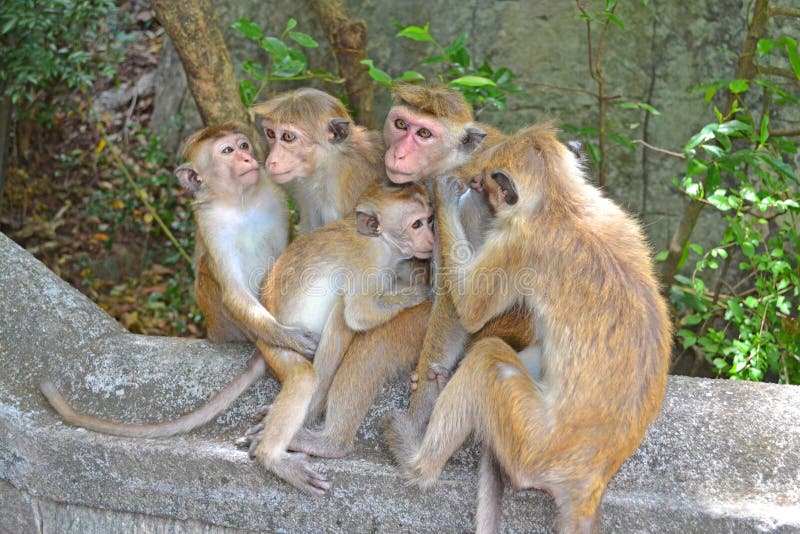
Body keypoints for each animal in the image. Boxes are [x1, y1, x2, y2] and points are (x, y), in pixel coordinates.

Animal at [41, 180, 435, 495]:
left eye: (430, 220)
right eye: (417, 223)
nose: (432, 238)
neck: (382, 243)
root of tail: (260, 337)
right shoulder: (369, 266)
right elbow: (357, 312)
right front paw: (419, 294)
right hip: (278, 348)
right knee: (321, 345)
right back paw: (279, 453)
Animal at [173, 123, 317, 355]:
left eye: (243, 146)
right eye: (227, 151)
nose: (247, 159)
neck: (241, 204)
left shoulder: (275, 200)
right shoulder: (210, 223)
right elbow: (234, 291)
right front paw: (287, 336)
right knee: (206, 266)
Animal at [386, 123, 672, 533]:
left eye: (487, 182)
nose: (479, 187)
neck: (559, 201)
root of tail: (593, 479)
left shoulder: (517, 242)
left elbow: (471, 309)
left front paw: (444, 195)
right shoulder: (612, 212)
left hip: (533, 445)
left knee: (489, 359)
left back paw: (418, 462)